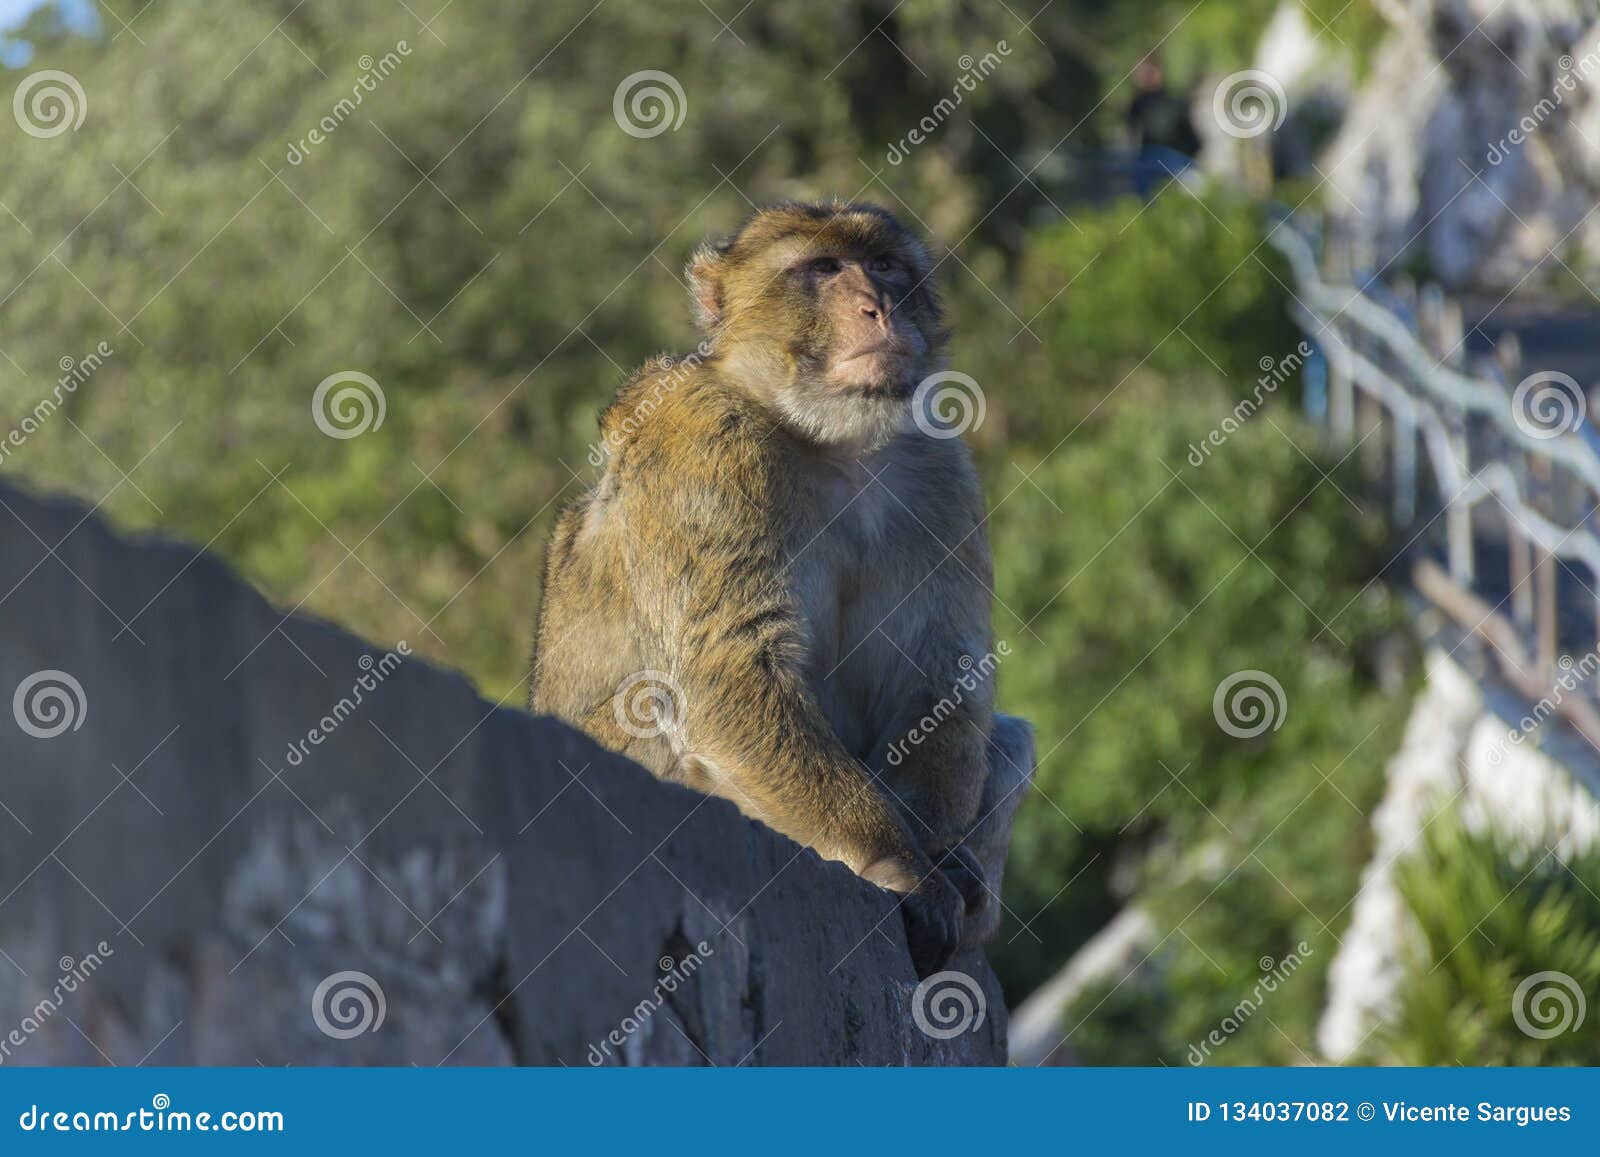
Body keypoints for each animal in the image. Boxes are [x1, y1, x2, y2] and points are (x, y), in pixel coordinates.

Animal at [530, 201, 1033, 978]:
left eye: (884, 265)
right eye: (822, 269)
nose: (879, 305)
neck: (827, 441)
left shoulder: (937, 468)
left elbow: (938, 675)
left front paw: (940, 858)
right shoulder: (705, 441)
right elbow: (728, 668)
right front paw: (899, 865)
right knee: (653, 705)